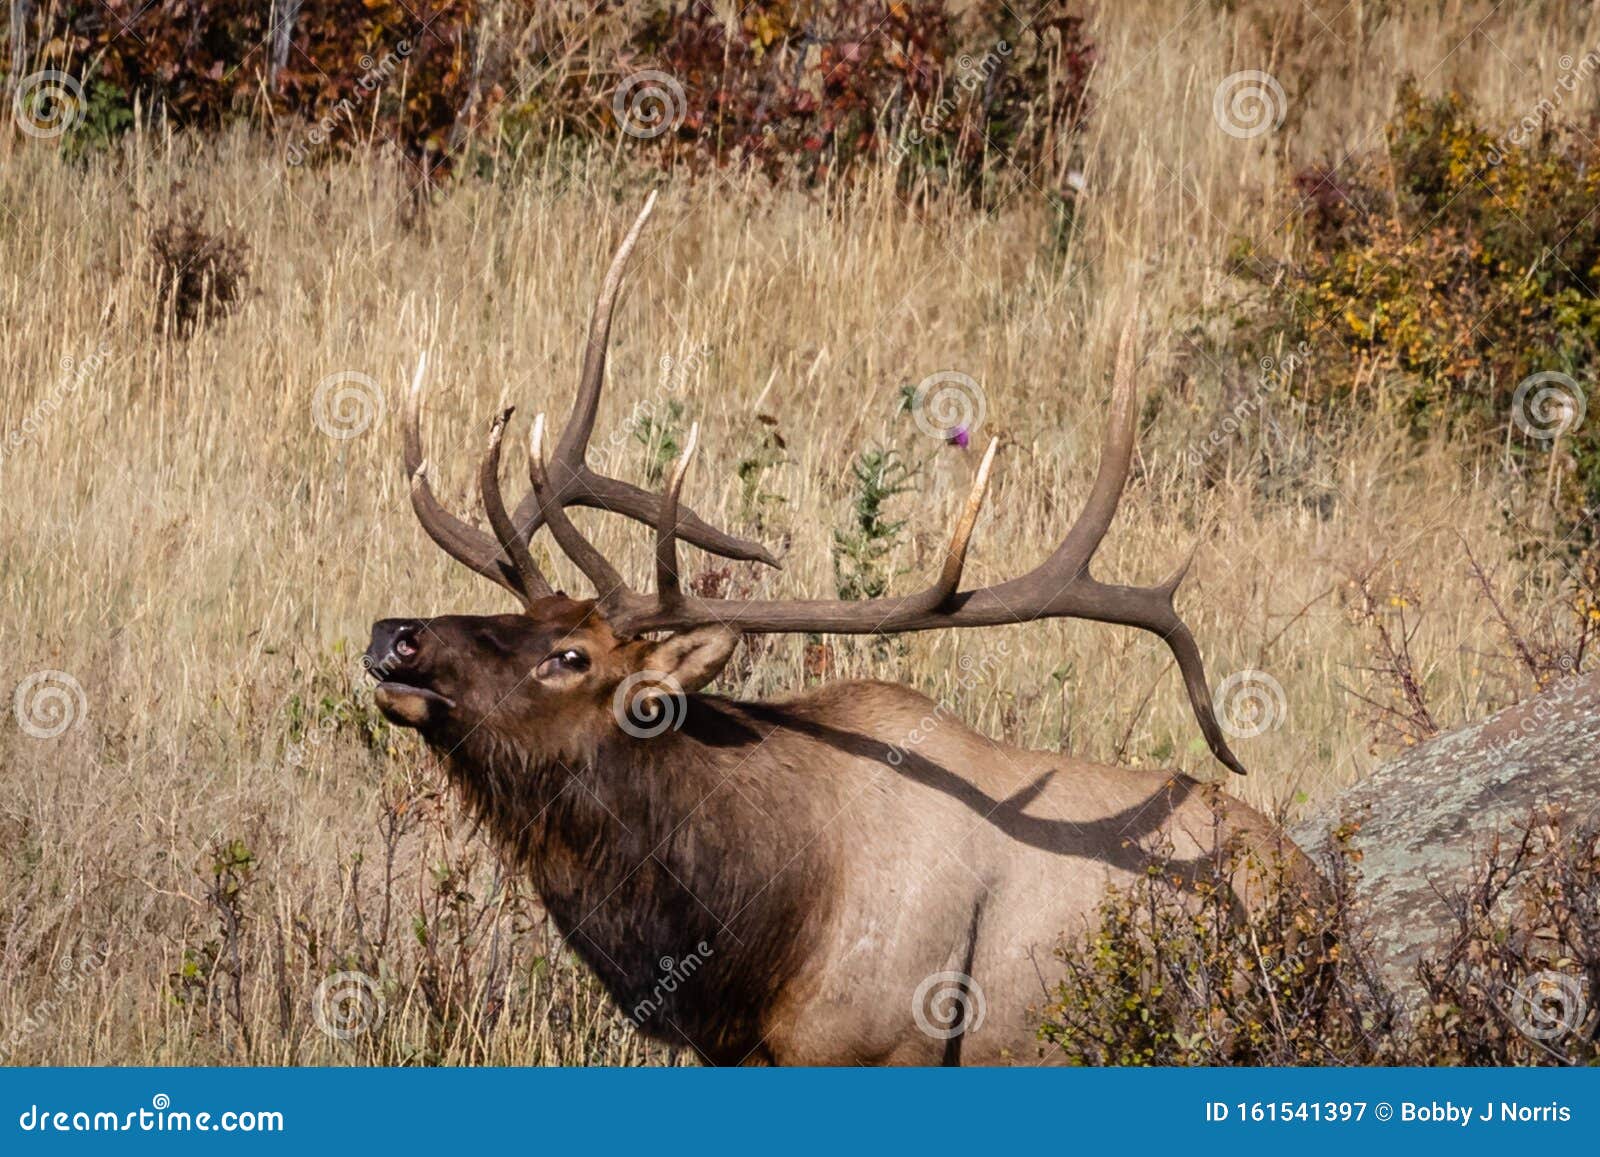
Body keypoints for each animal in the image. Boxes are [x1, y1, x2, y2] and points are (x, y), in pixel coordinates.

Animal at [366, 193, 1315, 1065]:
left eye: (571, 656)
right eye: (527, 616)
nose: (394, 635)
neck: (756, 938)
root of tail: (1313, 888)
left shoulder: (882, 1043)